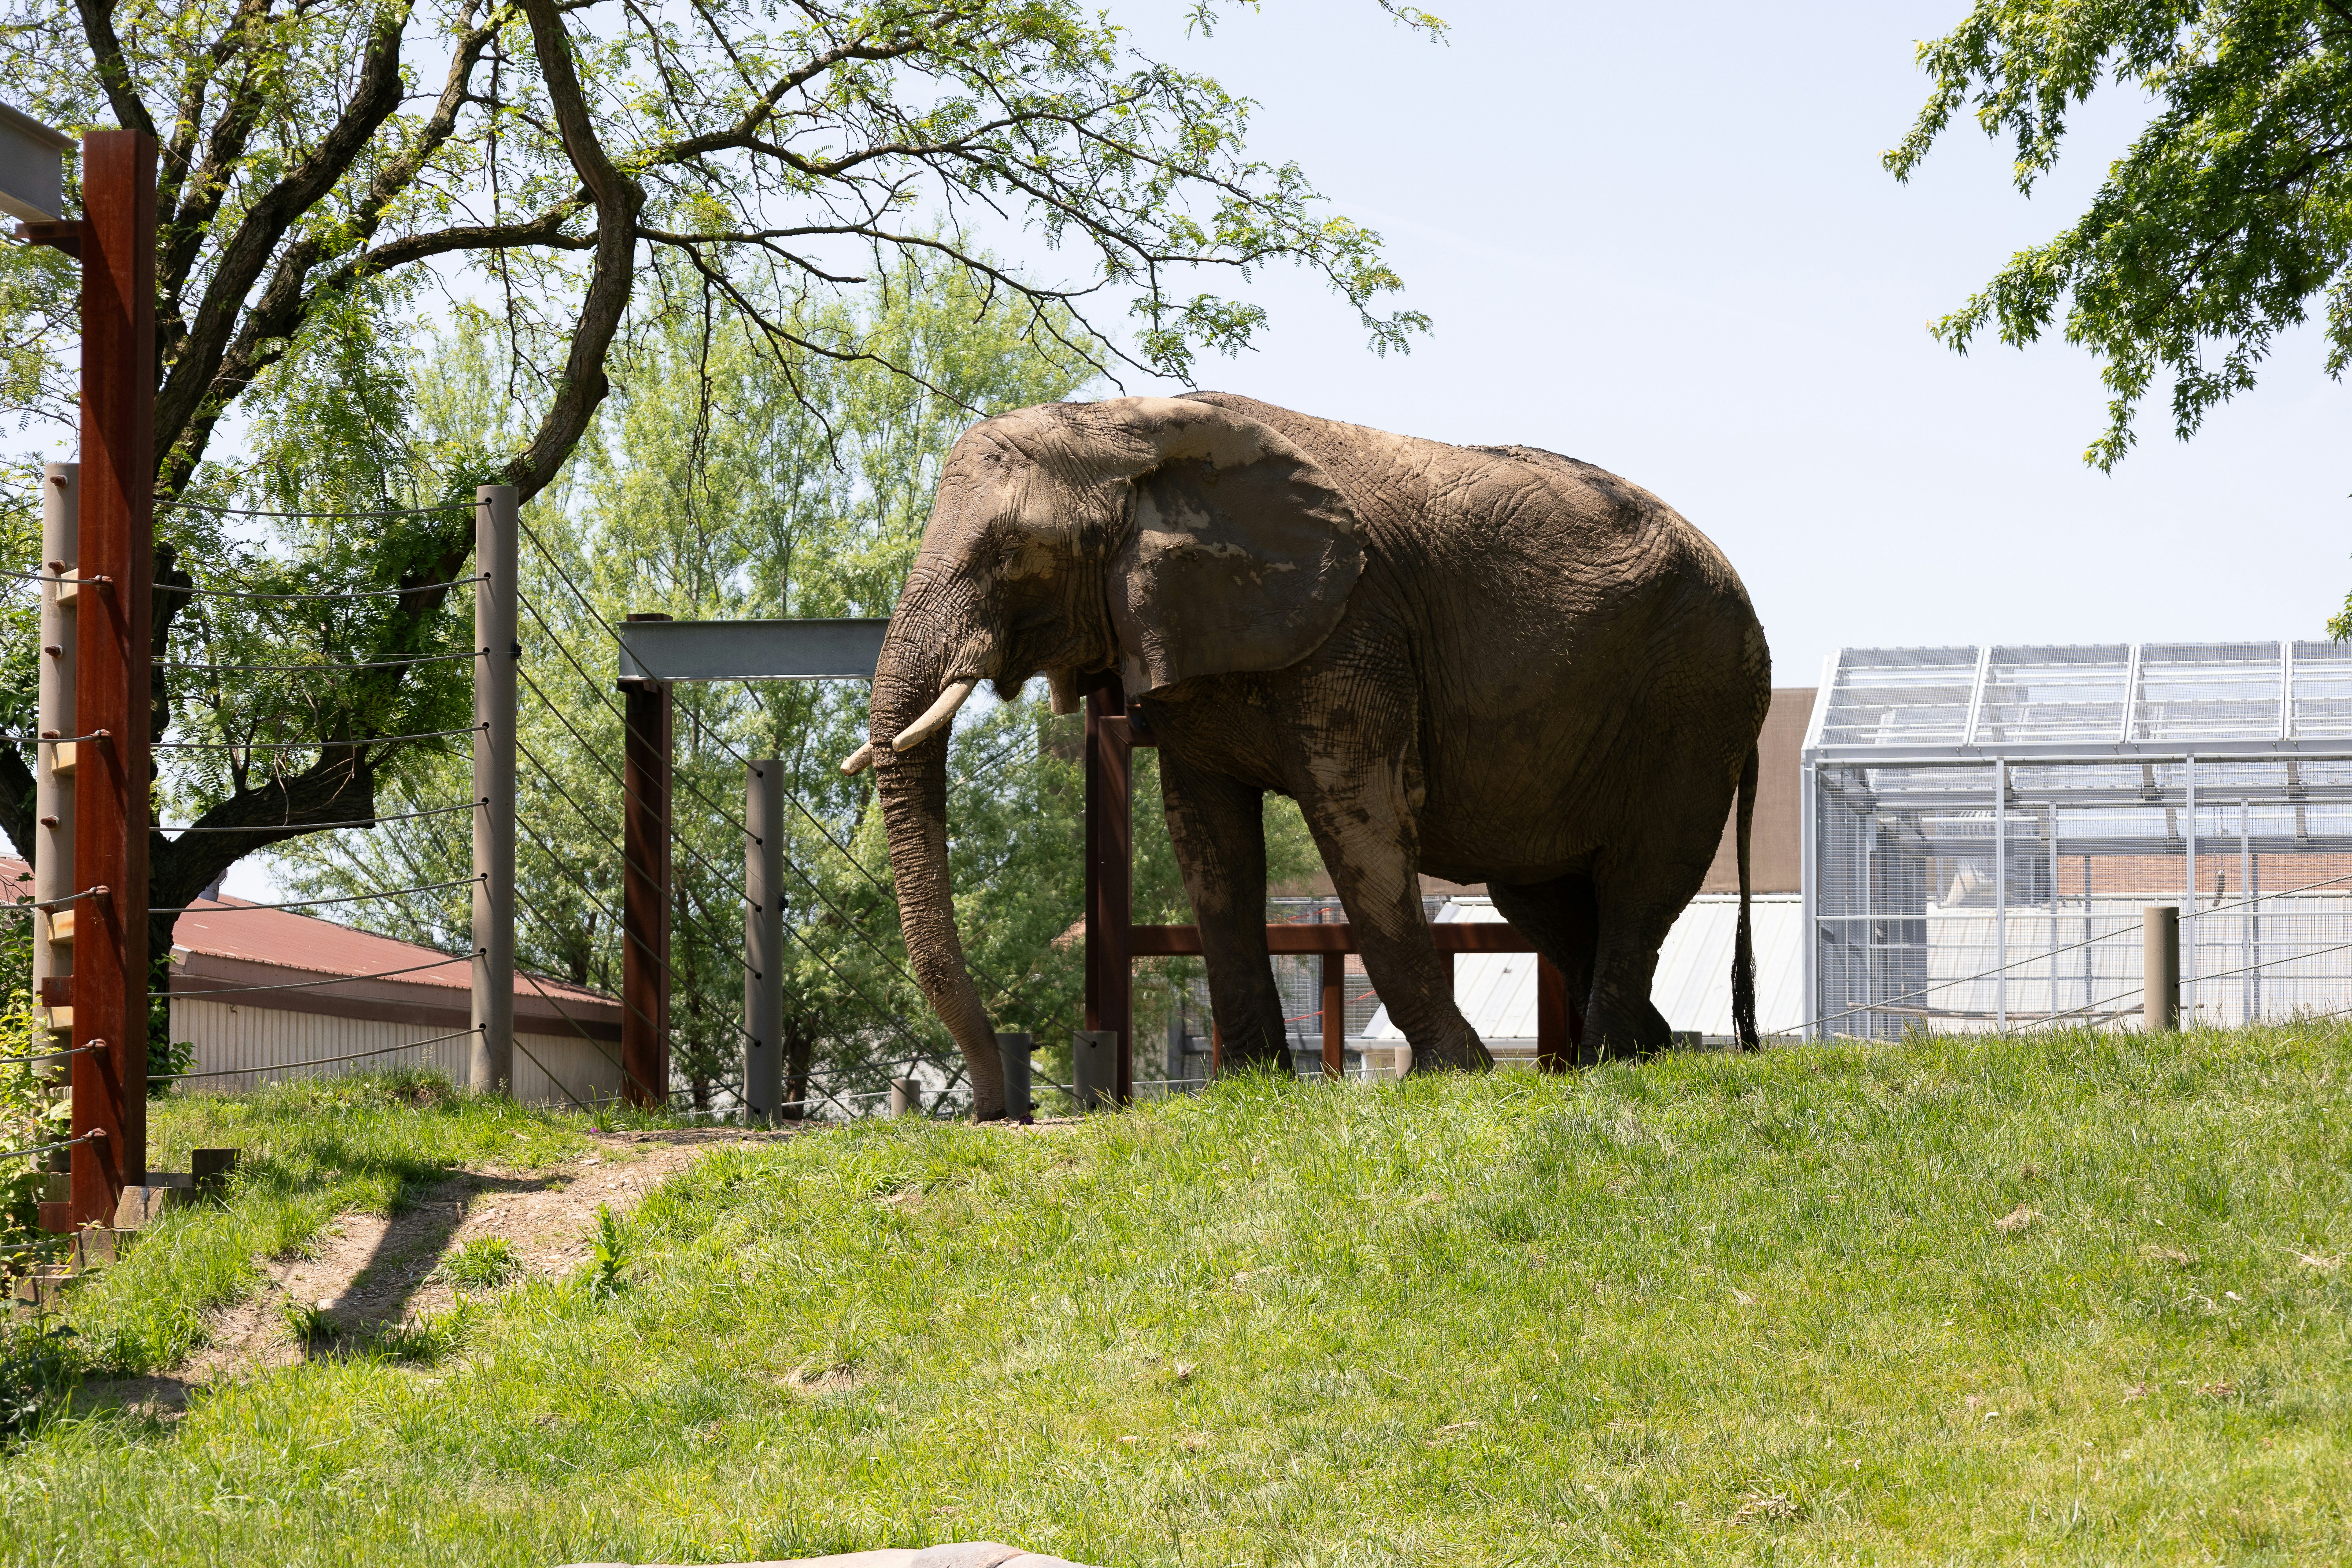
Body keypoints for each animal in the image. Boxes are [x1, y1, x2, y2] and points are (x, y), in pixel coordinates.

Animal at [849, 392, 1771, 1121]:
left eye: (1013, 556)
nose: (994, 1114)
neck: (1132, 430)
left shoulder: (1353, 628)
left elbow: (1356, 815)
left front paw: (1454, 1076)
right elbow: (1209, 842)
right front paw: (1253, 1088)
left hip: (1695, 698)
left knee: (1642, 877)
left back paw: (1611, 1064)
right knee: (1544, 897)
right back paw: (1657, 1052)